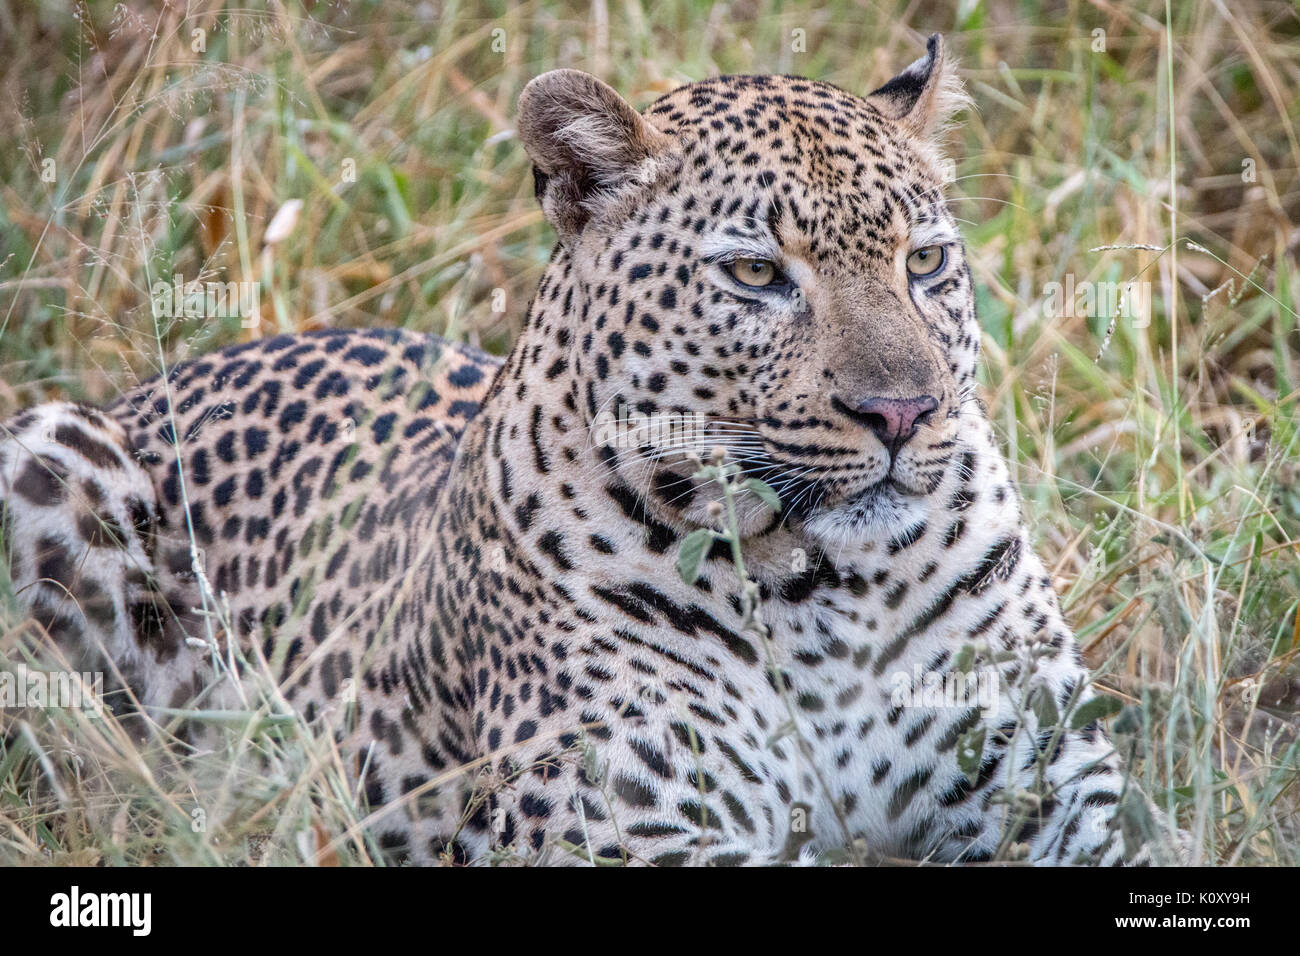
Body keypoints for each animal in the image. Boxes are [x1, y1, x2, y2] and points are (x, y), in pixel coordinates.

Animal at [0, 35, 1181, 866]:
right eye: (756, 274)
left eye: (924, 261)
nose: (903, 412)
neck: (825, 590)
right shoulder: (620, 828)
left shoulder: (1051, 780)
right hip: (49, 448)